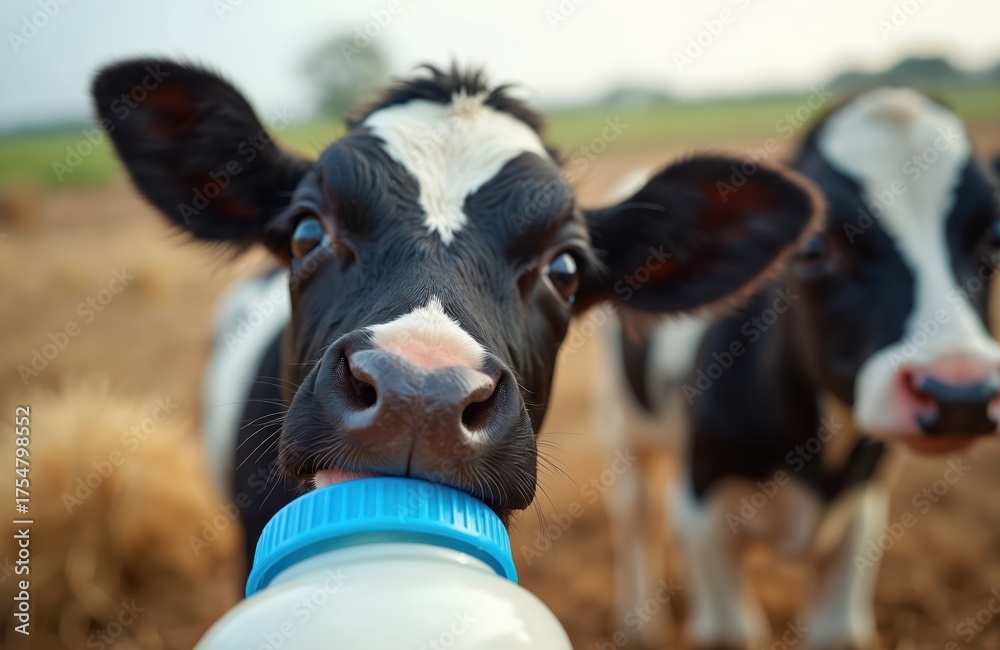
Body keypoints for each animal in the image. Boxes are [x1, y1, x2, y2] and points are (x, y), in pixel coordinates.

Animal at [601, 86, 1000, 649]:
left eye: (996, 236)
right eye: (812, 248)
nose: (958, 392)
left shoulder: (861, 511)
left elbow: (836, 629)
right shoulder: (701, 508)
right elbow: (731, 628)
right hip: (623, 426)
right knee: (636, 515)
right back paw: (639, 624)